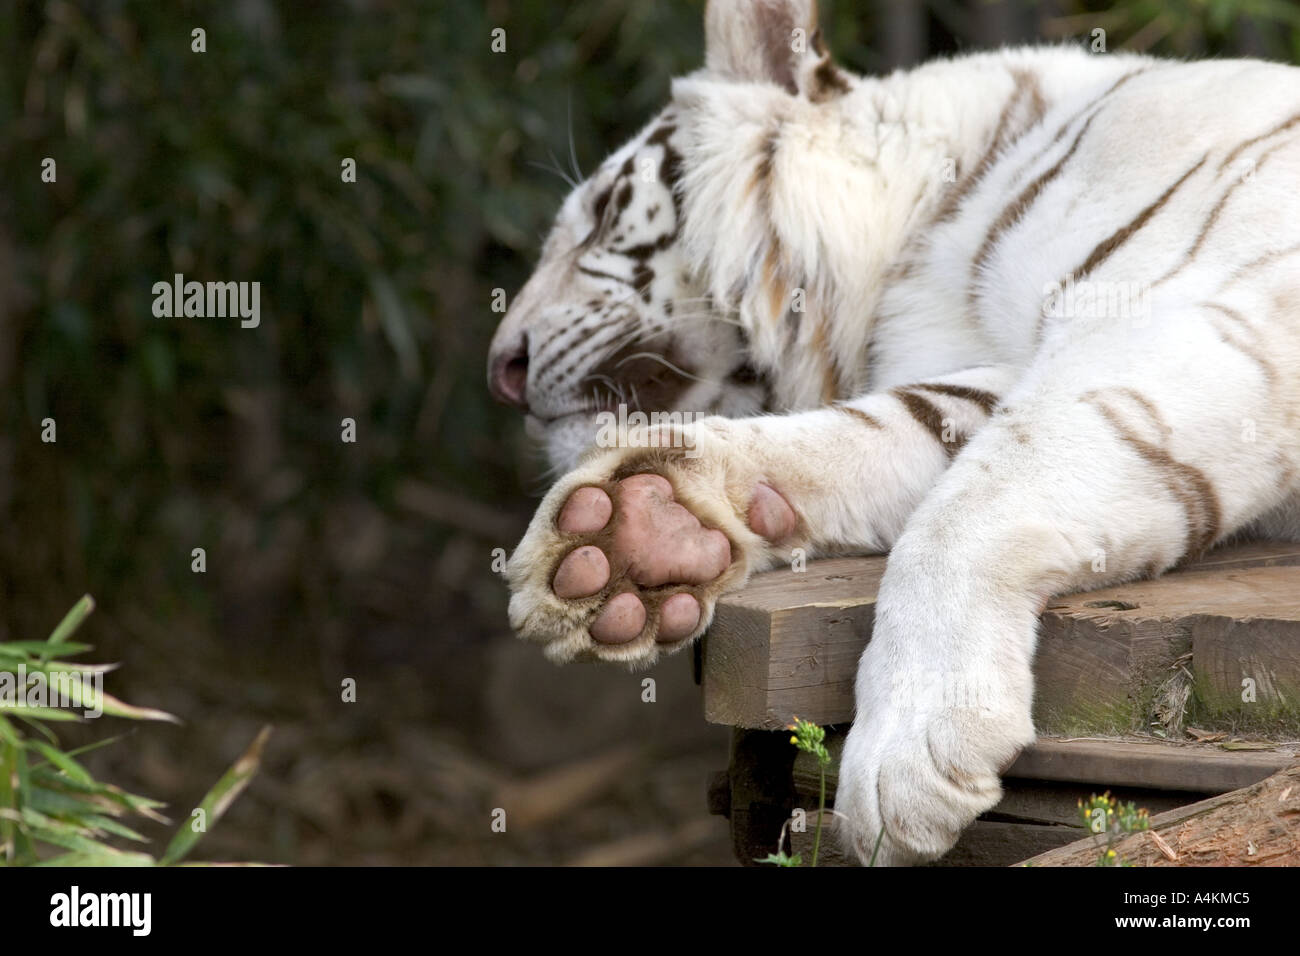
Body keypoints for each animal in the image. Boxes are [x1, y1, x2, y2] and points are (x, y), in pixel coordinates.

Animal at [487, 0, 1300, 865]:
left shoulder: (1202, 311)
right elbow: (891, 426)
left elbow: (968, 509)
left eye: (605, 214)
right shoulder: (1000, 367)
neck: (918, 239)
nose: (501, 369)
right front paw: (638, 526)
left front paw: (909, 755)